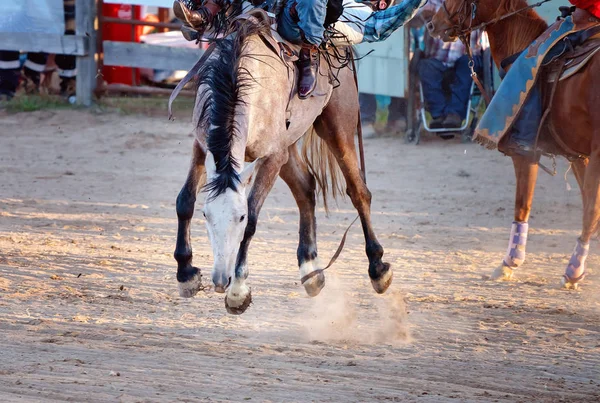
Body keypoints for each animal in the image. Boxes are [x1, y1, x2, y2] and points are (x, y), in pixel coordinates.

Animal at [428, 0, 596, 290]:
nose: (431, 24)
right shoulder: (579, 156)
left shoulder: (525, 152)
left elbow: (523, 204)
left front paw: (509, 263)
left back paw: (572, 270)